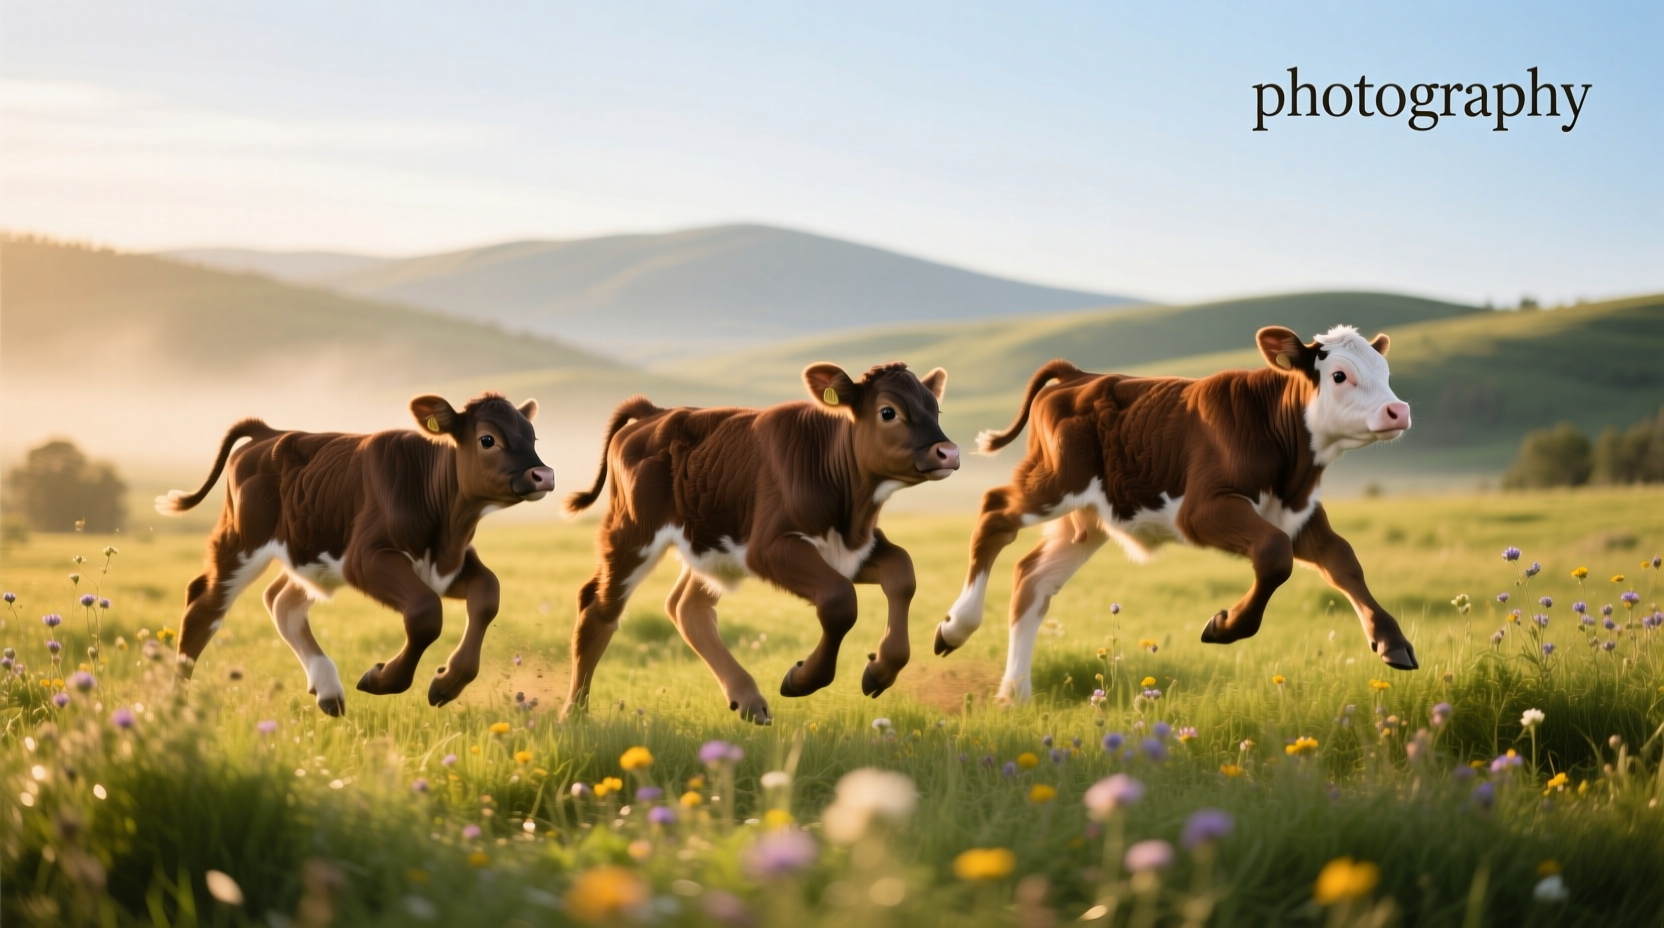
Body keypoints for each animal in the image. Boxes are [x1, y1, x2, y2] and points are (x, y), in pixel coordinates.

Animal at [155, 393, 554, 715]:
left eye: (533, 436)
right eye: (488, 439)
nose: (544, 474)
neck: (448, 528)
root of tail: (269, 432)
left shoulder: (447, 565)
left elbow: (488, 594)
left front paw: (447, 682)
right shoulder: (365, 559)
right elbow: (426, 612)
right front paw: (383, 679)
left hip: (310, 551)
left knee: (281, 601)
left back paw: (328, 691)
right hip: (242, 540)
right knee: (204, 605)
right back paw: (176, 705)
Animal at [561, 362, 959, 724]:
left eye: (935, 410)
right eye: (888, 412)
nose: (949, 452)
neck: (851, 513)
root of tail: (656, 411)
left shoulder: (851, 549)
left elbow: (902, 572)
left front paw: (881, 670)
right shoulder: (769, 548)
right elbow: (839, 600)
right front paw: (803, 678)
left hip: (710, 541)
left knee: (685, 607)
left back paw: (748, 699)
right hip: (632, 531)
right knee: (598, 609)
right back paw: (574, 715)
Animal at [934, 325, 1416, 703]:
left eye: (1386, 372)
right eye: (1339, 375)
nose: (1399, 410)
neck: (1289, 465)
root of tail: (1080, 374)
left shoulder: (1298, 514)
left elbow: (1344, 561)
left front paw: (1391, 641)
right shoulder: (1202, 510)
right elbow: (1274, 556)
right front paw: (1224, 626)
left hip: (1087, 518)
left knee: (1032, 577)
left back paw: (1013, 693)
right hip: (1053, 483)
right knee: (994, 511)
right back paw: (956, 627)